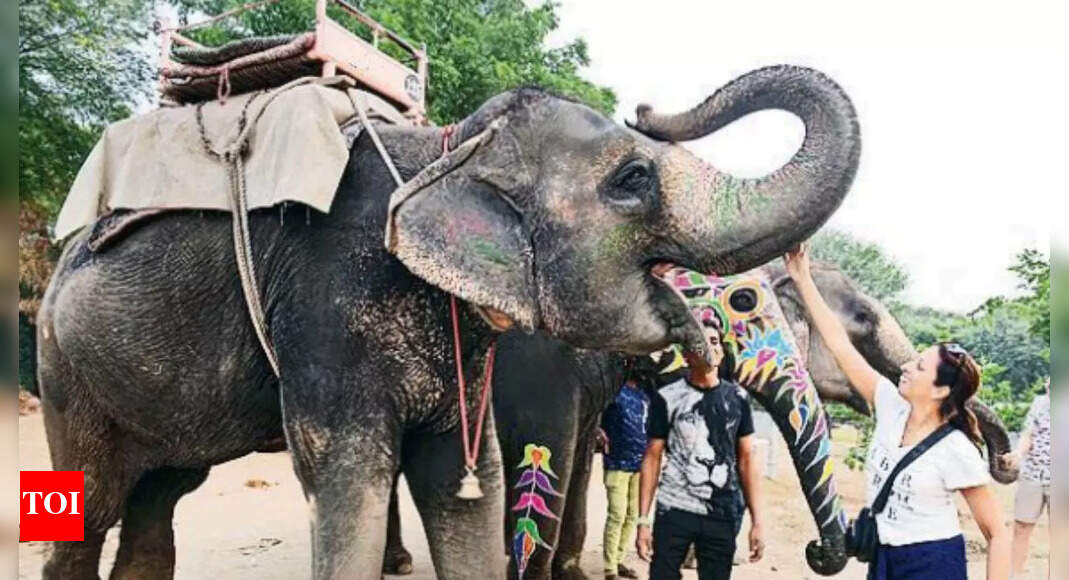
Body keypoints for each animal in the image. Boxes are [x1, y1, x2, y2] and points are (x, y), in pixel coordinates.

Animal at [36, 64, 860, 580]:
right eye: (632, 179)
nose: (822, 557)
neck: (450, 145)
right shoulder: (326, 312)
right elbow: (351, 483)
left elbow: (466, 482)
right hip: (62, 368)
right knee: (93, 502)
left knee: (158, 497)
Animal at [383, 260, 1019, 579]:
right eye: (862, 319)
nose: (1006, 463)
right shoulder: (536, 351)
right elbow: (547, 450)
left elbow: (580, 454)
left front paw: (574, 573)